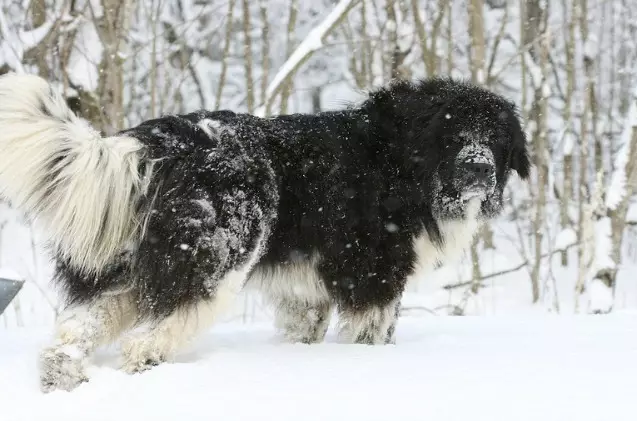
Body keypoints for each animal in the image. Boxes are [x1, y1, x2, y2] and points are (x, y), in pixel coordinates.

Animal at [0, 72, 528, 390]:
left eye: (496, 139)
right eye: (453, 136)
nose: (479, 169)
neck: (404, 159)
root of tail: (161, 144)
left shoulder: (304, 289)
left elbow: (305, 329)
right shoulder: (373, 274)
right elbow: (372, 333)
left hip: (125, 269)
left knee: (74, 331)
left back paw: (62, 378)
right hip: (216, 259)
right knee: (146, 339)